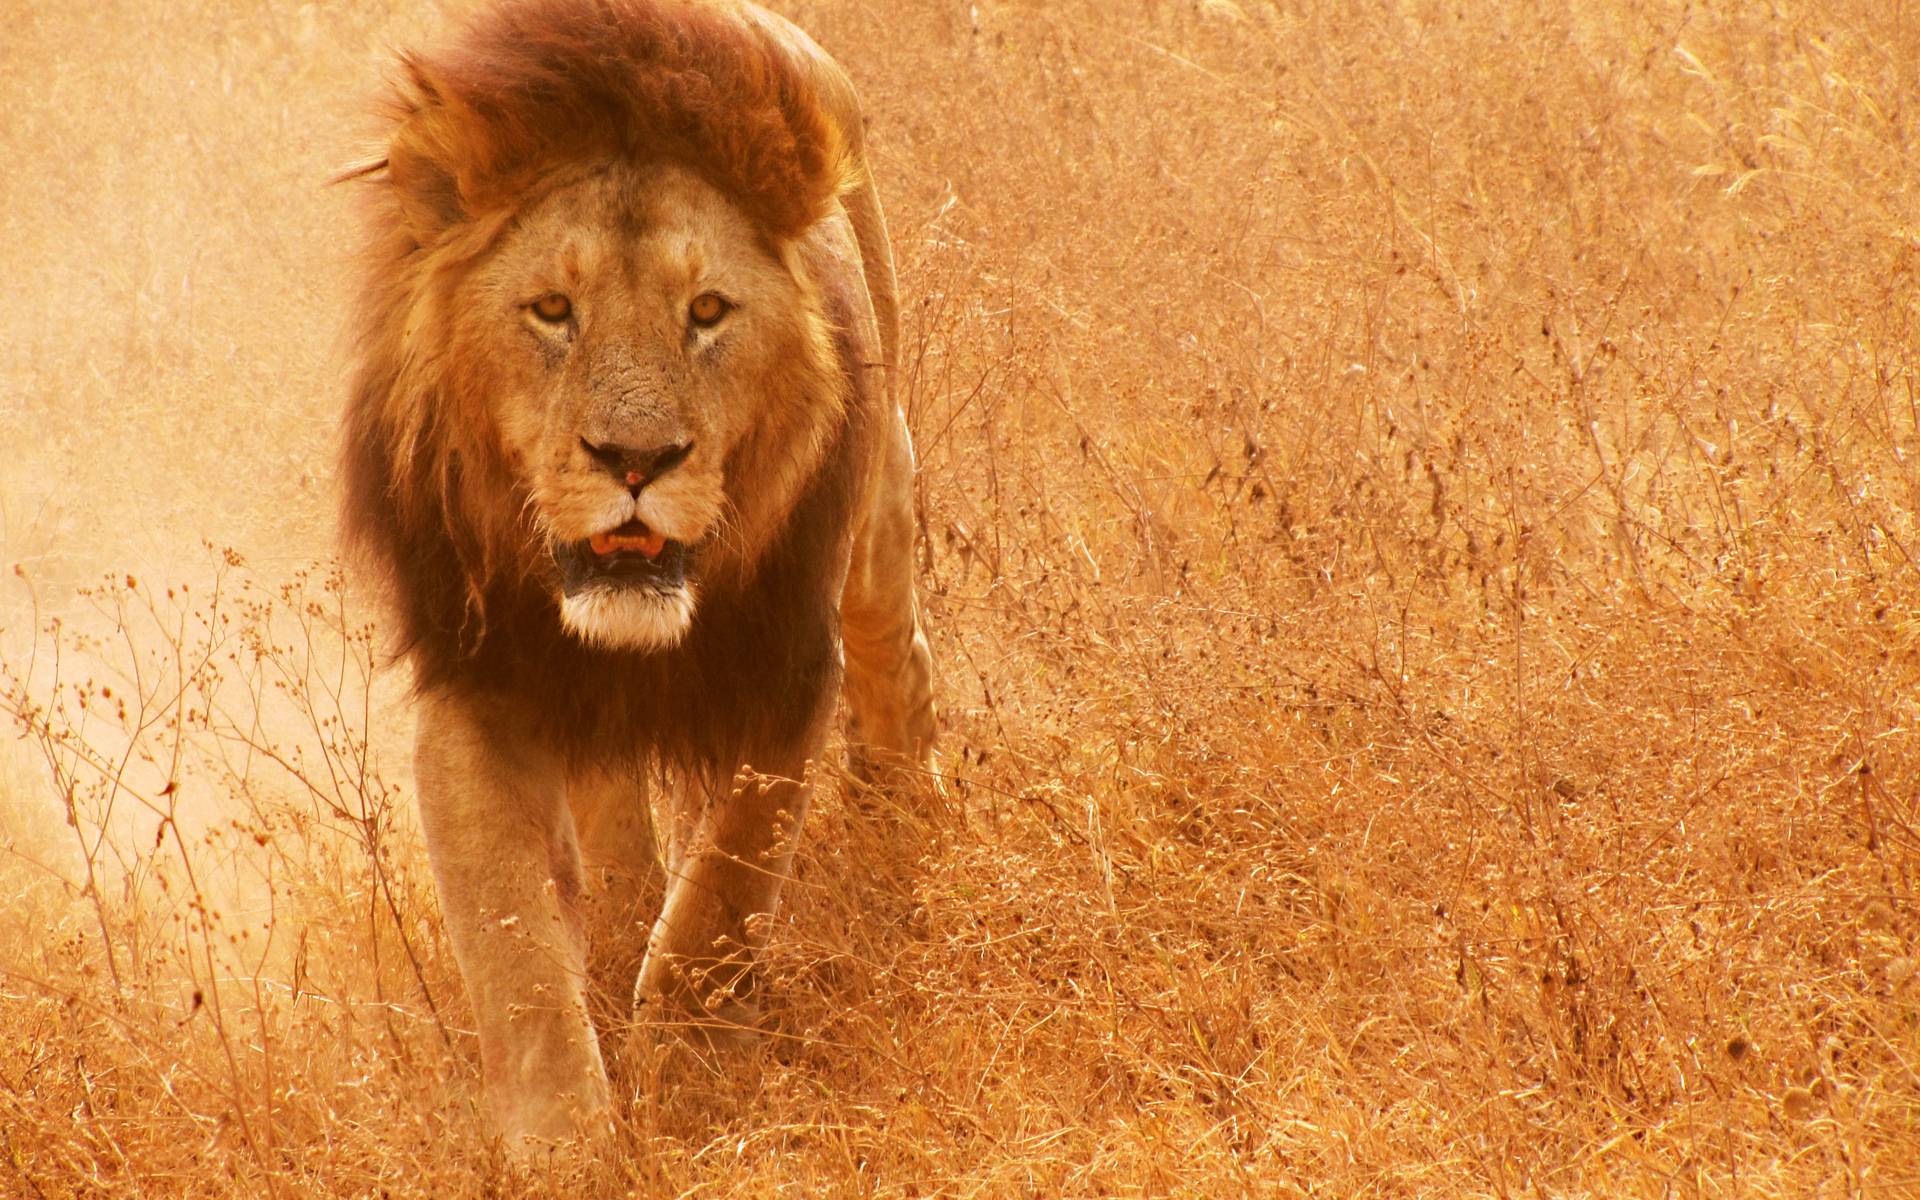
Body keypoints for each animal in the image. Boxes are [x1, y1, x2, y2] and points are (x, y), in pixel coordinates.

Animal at [337, 0, 936, 1148]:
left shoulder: (786, 671)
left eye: (706, 310)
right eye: (550, 311)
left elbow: (719, 898)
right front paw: (564, 1146)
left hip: (881, 494)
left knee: (897, 648)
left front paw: (698, 1084)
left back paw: (909, 822)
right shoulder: (476, 686)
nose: (634, 459)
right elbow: (515, 948)